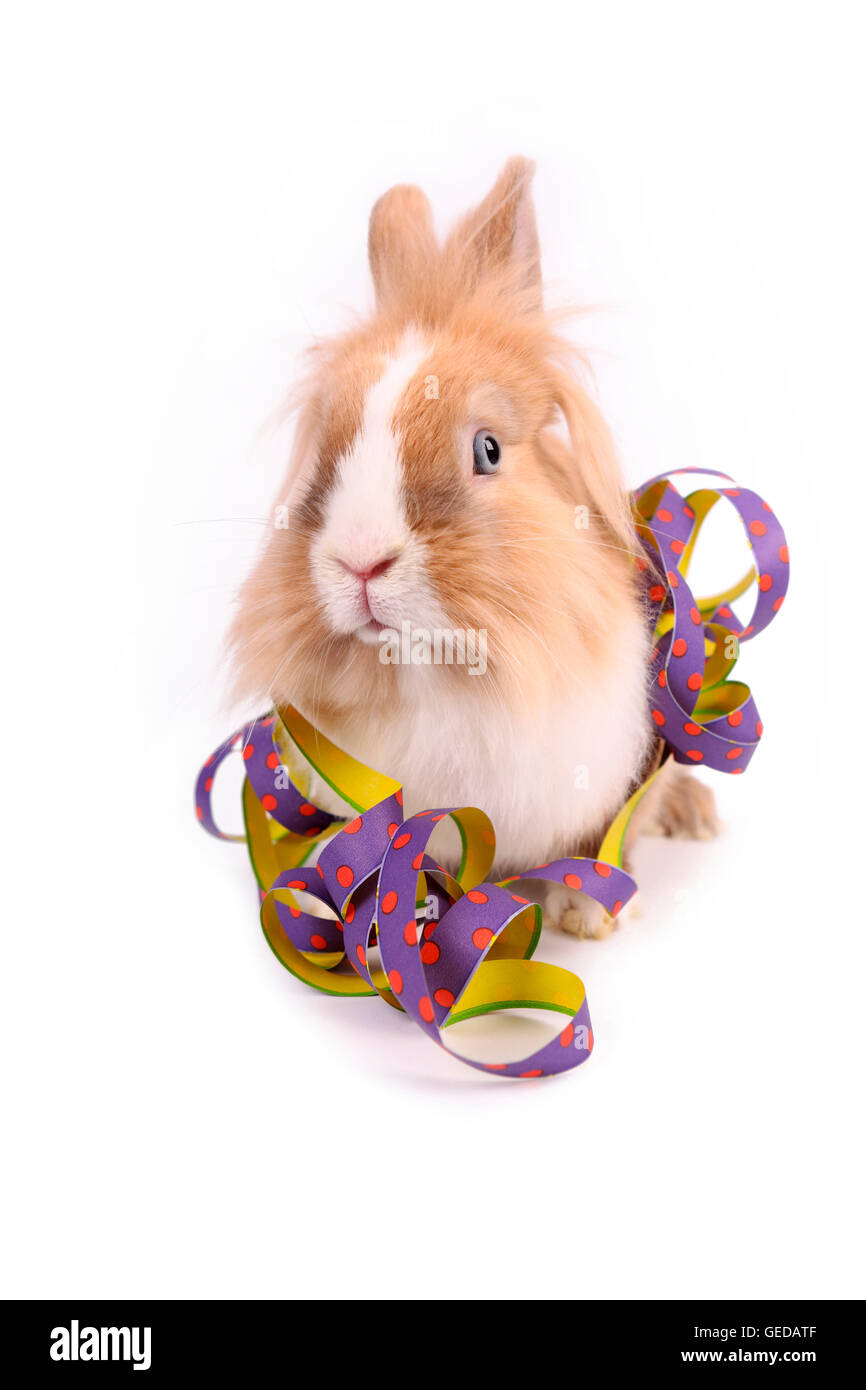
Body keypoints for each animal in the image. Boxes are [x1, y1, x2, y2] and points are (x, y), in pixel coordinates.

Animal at [228, 157, 718, 938]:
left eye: (487, 449)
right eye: (323, 453)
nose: (361, 559)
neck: (435, 676)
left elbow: (599, 842)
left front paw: (589, 914)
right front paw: (323, 900)